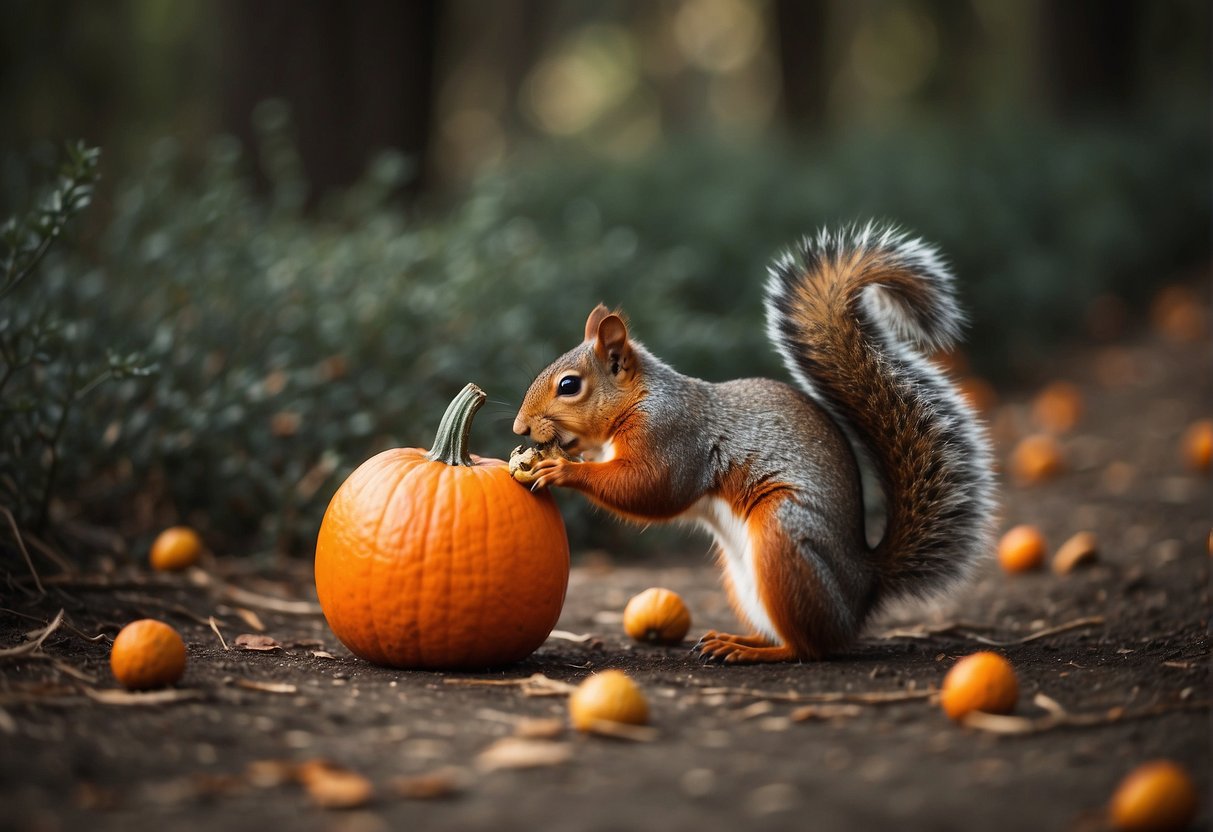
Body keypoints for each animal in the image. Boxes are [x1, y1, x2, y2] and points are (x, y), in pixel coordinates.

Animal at [512, 223, 996, 663]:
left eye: (569, 385)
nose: (519, 429)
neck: (638, 400)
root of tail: (862, 584)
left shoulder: (673, 436)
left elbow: (652, 488)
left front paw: (562, 469)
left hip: (783, 536)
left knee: (809, 647)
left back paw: (752, 652)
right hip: (743, 577)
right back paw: (738, 640)